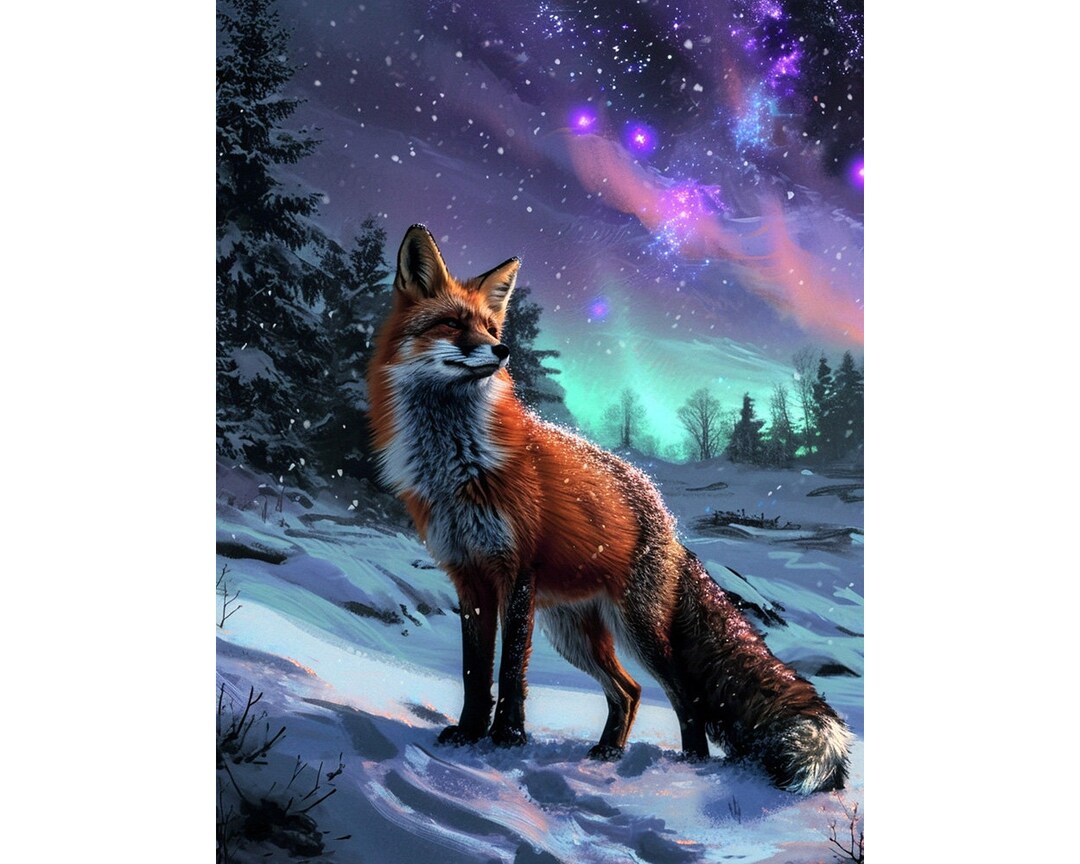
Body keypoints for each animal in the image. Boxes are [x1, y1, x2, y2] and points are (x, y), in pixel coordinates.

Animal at [366, 224, 852, 794]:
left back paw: (689, 768)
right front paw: (468, 736)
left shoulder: (515, 572)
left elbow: (509, 673)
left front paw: (508, 739)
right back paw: (607, 753)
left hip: (634, 627)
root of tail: (665, 516)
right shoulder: (469, 577)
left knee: (683, 694)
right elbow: (473, 673)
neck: (458, 466)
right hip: (574, 634)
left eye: (490, 327)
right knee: (629, 691)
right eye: (452, 324)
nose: (502, 350)